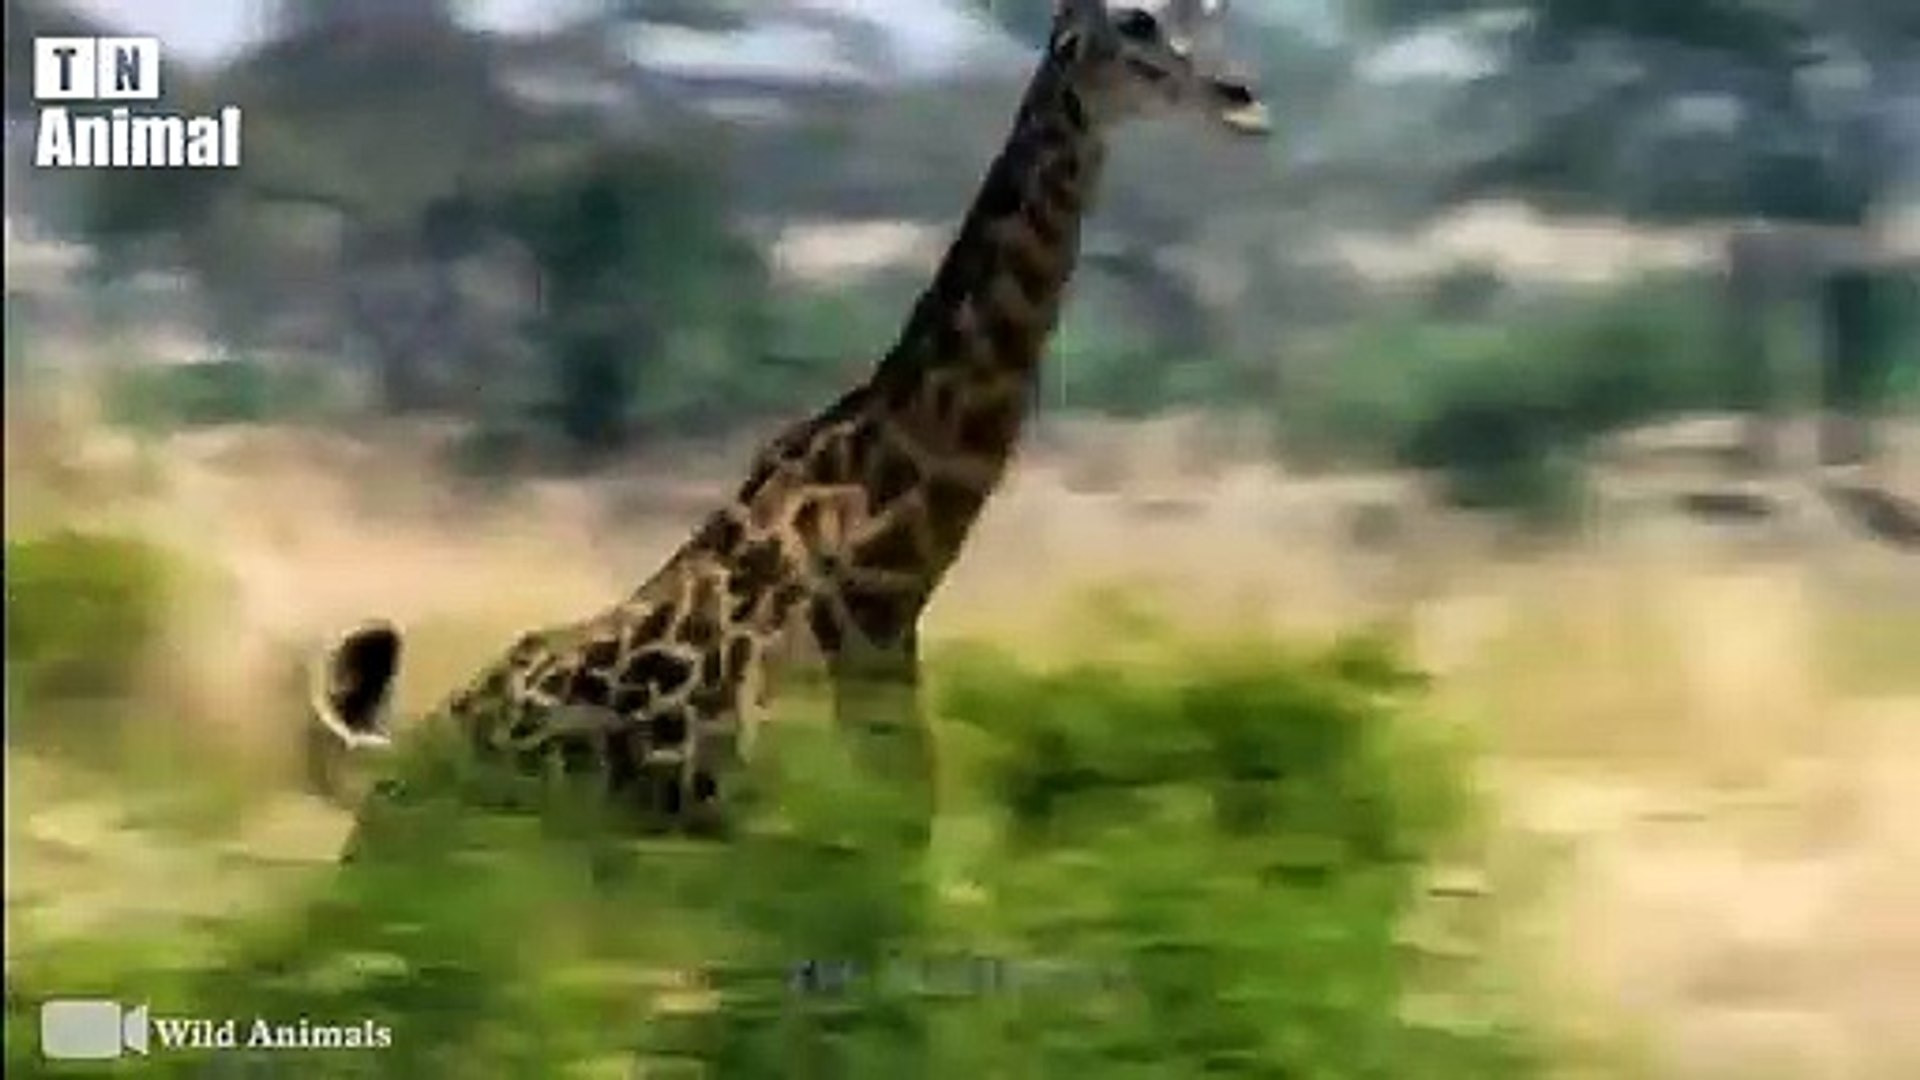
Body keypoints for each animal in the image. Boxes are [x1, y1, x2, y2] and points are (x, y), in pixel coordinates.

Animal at [307, 0, 1272, 858]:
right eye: (1137, 20)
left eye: (1216, 6)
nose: (1243, 98)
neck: (888, 574)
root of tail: (406, 759)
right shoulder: (770, 846)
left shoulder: (880, 850)